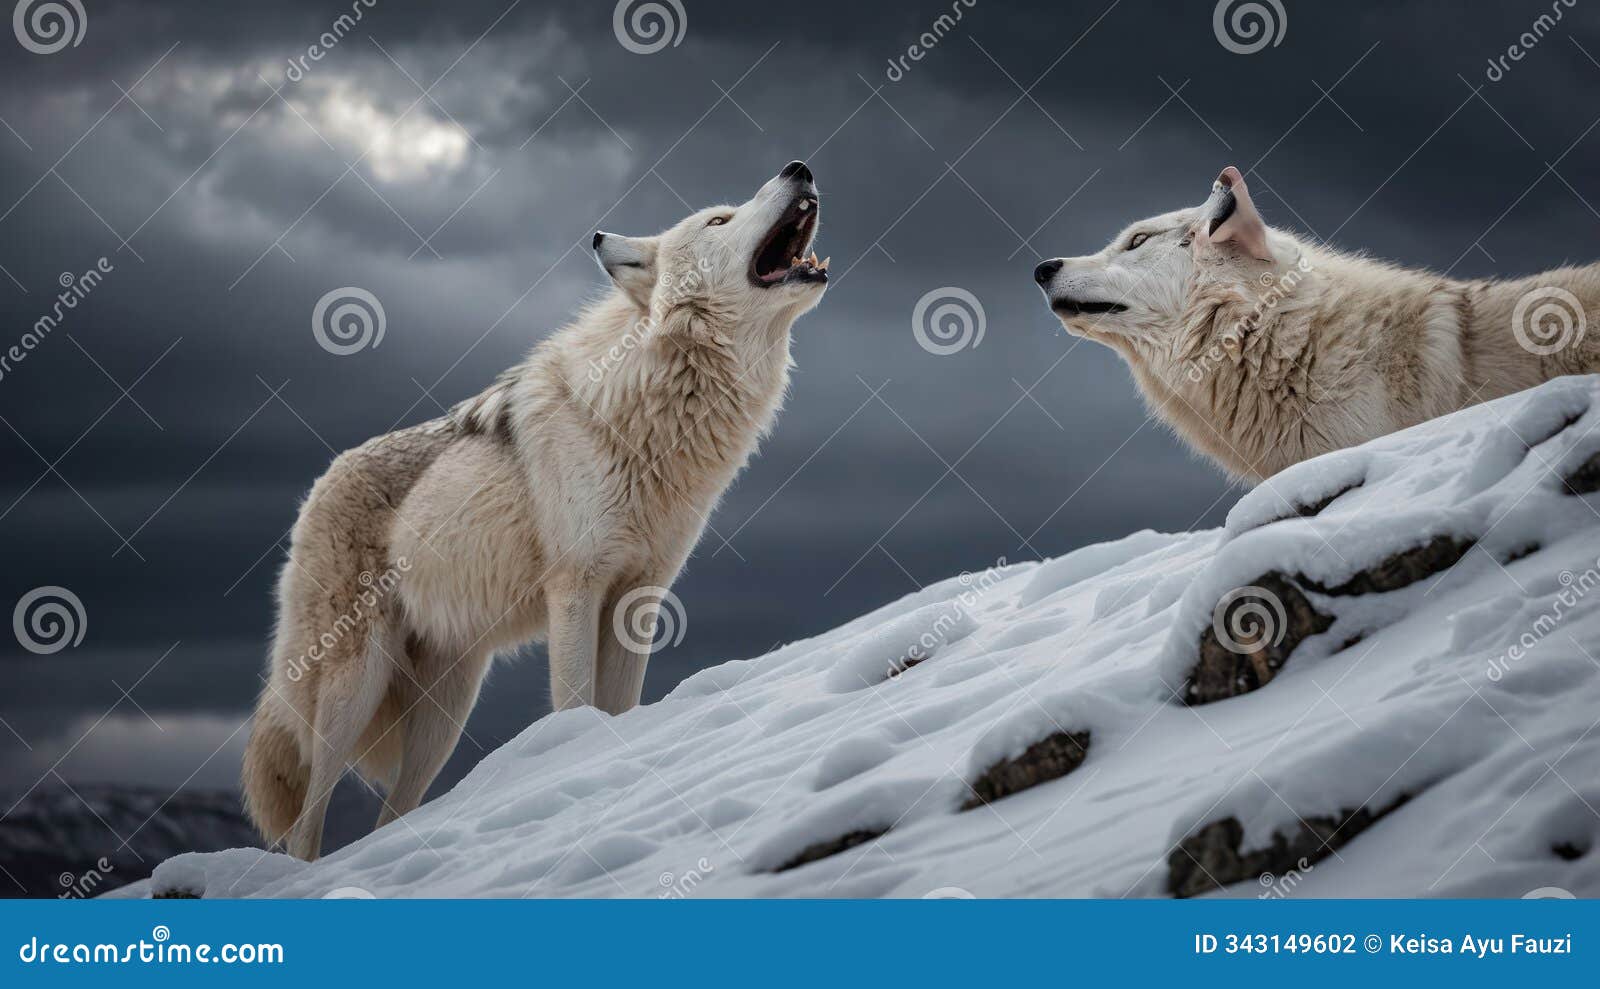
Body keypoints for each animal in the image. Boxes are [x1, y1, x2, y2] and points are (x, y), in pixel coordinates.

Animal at [243, 161, 831, 860]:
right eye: (720, 218)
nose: (799, 167)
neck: (648, 409)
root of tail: (316, 489)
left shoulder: (640, 595)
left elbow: (621, 710)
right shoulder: (576, 589)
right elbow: (575, 706)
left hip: (446, 711)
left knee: (389, 819)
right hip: (351, 688)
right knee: (307, 822)